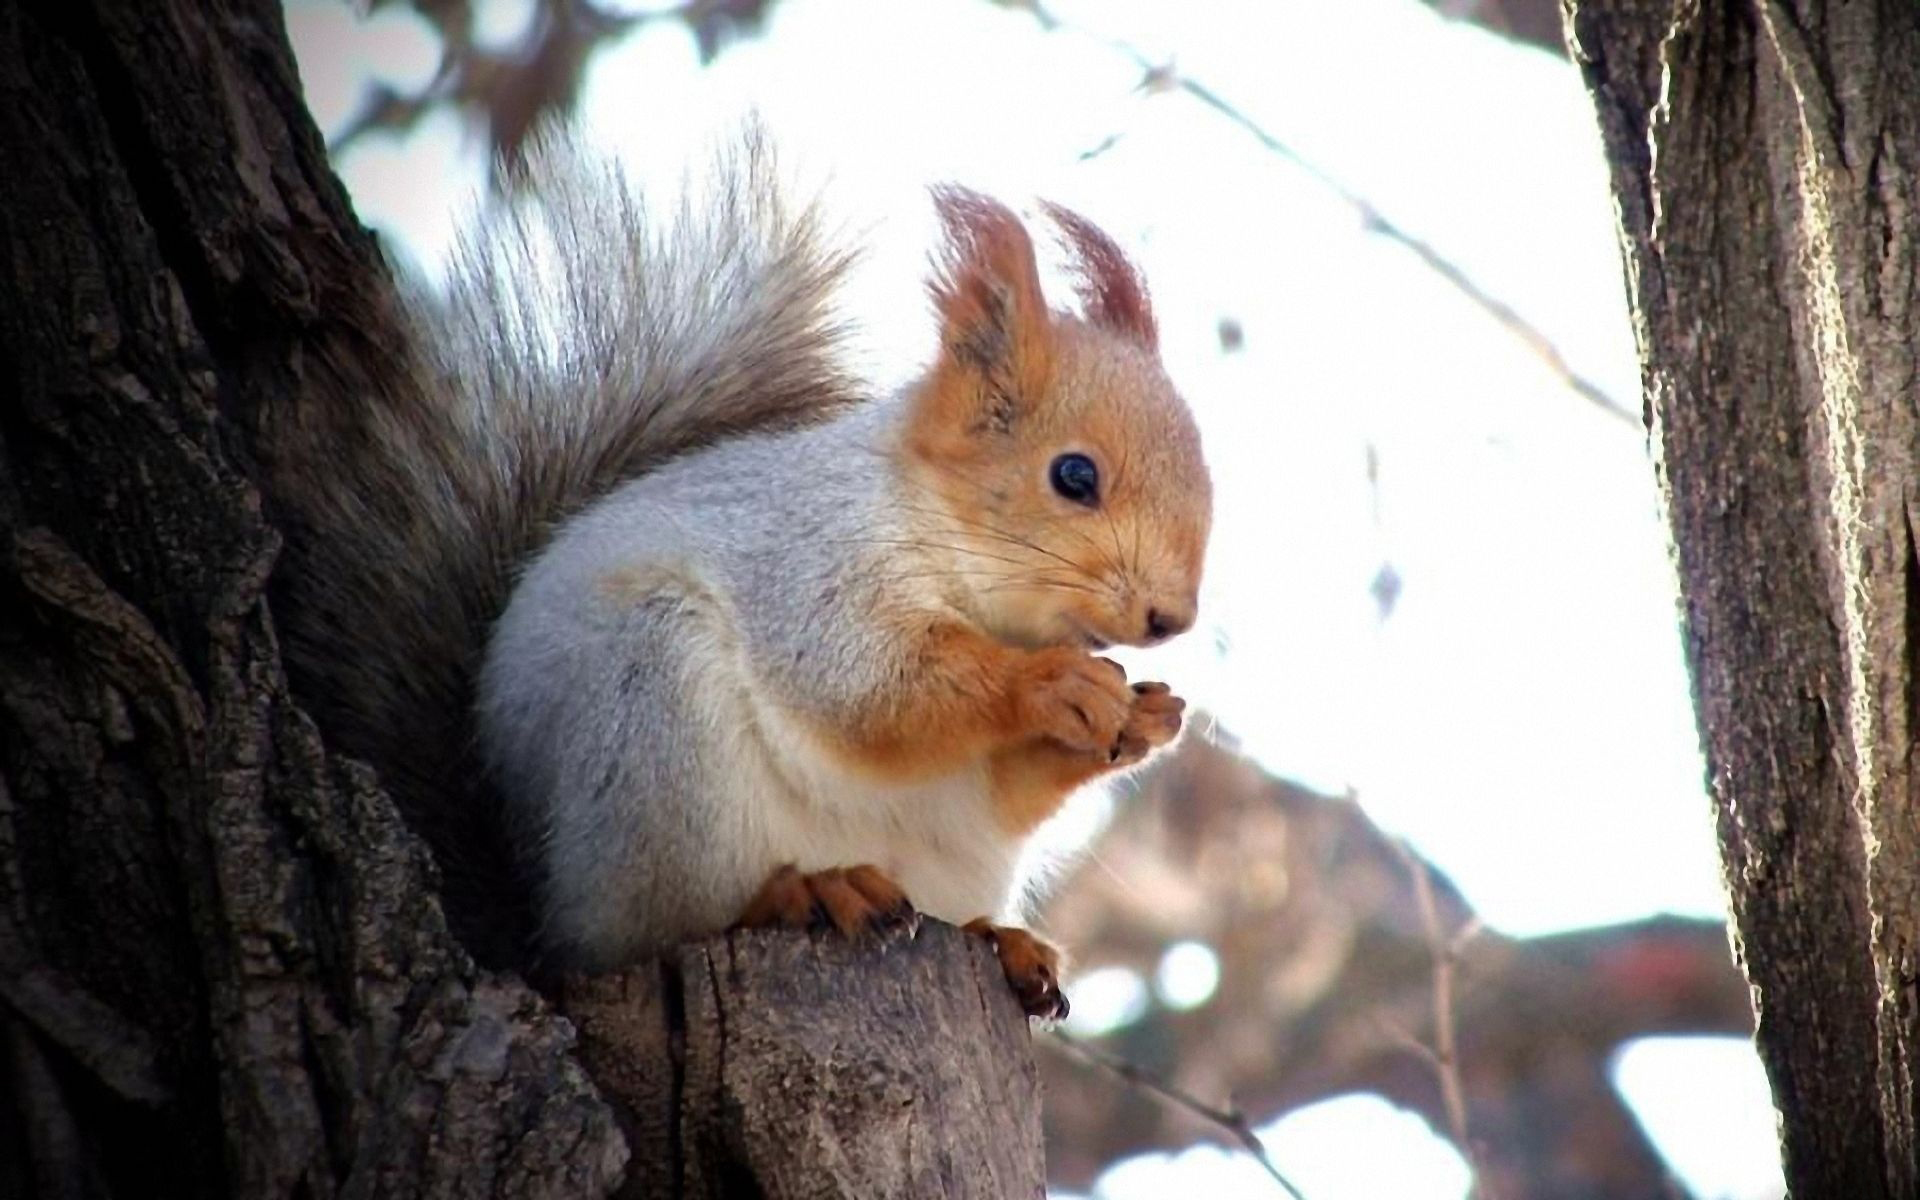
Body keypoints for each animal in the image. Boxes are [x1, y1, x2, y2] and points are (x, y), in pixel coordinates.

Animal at [267, 129, 1210, 1018]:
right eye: (1074, 476)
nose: (1171, 618)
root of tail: (539, 914)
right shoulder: (807, 564)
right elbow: (868, 688)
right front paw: (1051, 684)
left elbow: (1000, 784)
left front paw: (1147, 718)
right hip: (652, 727)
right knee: (658, 921)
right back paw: (808, 890)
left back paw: (1000, 940)